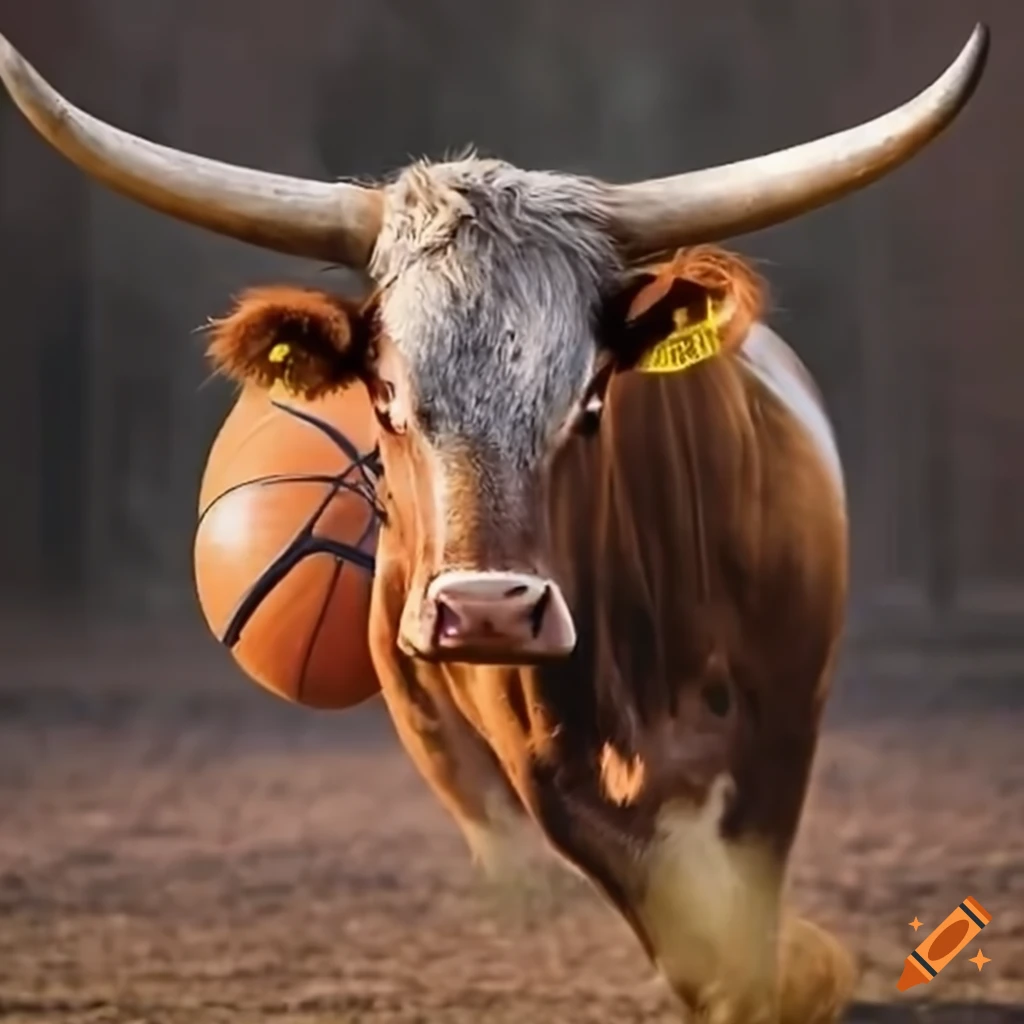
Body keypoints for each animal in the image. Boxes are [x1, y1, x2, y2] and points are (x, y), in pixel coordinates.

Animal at [0, 25, 989, 1024]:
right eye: (387, 399)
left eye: (590, 399)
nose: (487, 611)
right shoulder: (537, 753)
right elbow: (657, 890)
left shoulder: (785, 706)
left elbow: (743, 883)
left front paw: (793, 973)